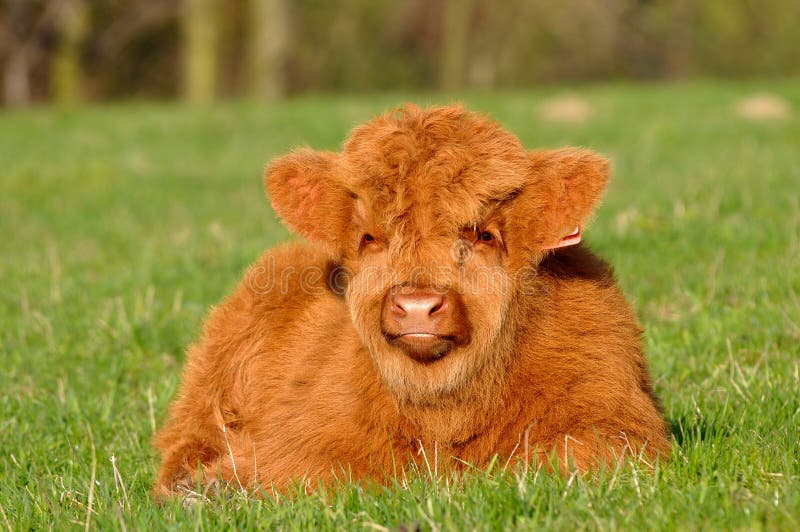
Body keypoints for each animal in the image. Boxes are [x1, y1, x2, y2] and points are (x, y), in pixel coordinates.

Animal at [154, 104, 669, 495]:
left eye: (483, 234)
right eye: (369, 238)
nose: (418, 306)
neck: (441, 411)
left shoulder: (618, 426)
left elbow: (561, 458)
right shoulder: (297, 445)